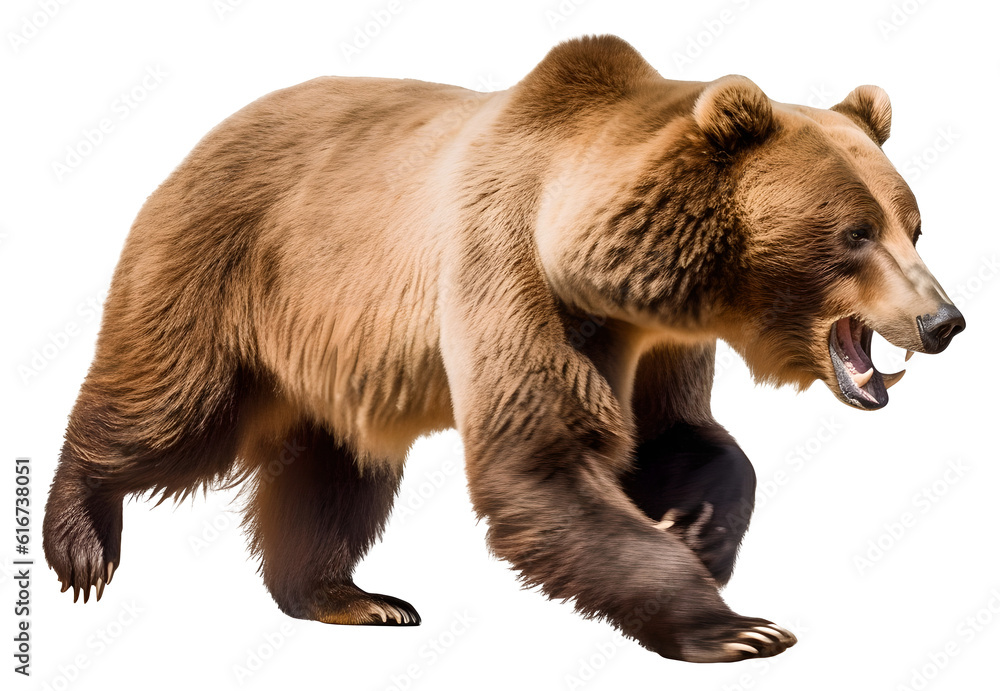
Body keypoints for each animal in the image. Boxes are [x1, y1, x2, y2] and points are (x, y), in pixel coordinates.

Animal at [42, 34, 965, 663]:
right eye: (853, 234)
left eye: (913, 224)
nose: (944, 320)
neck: (612, 270)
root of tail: (205, 135)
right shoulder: (514, 271)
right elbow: (544, 456)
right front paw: (738, 626)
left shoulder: (661, 340)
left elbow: (682, 435)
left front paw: (701, 528)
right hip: (228, 272)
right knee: (170, 406)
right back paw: (83, 542)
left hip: (333, 350)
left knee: (335, 470)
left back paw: (354, 596)